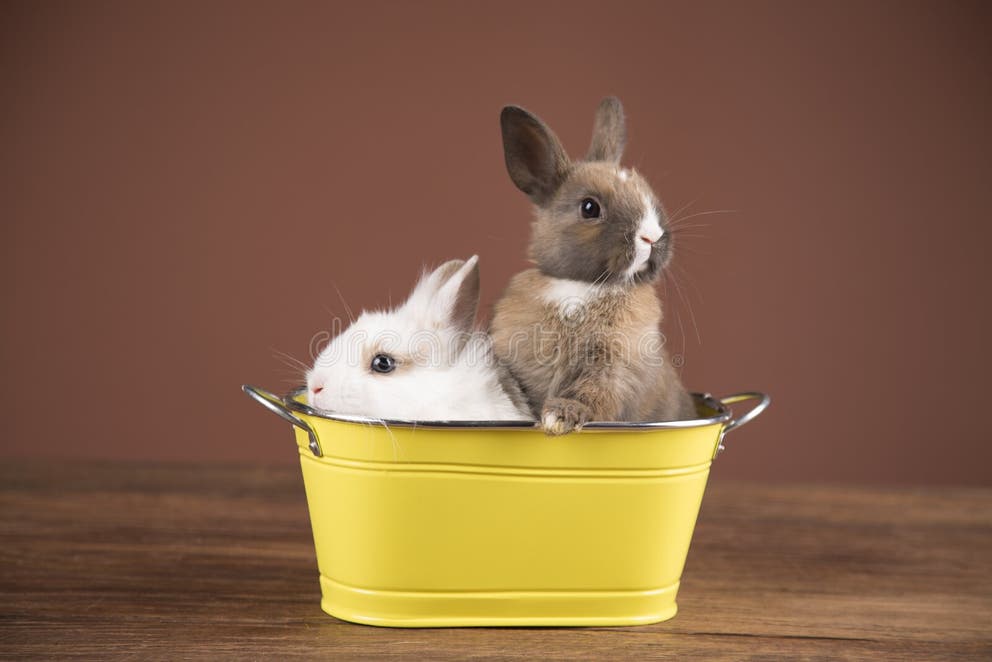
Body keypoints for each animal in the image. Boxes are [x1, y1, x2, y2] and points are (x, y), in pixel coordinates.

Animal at [489, 97, 696, 435]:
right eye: (589, 208)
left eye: (650, 196)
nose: (651, 236)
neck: (582, 285)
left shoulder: (612, 367)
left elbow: (592, 393)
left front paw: (557, 417)